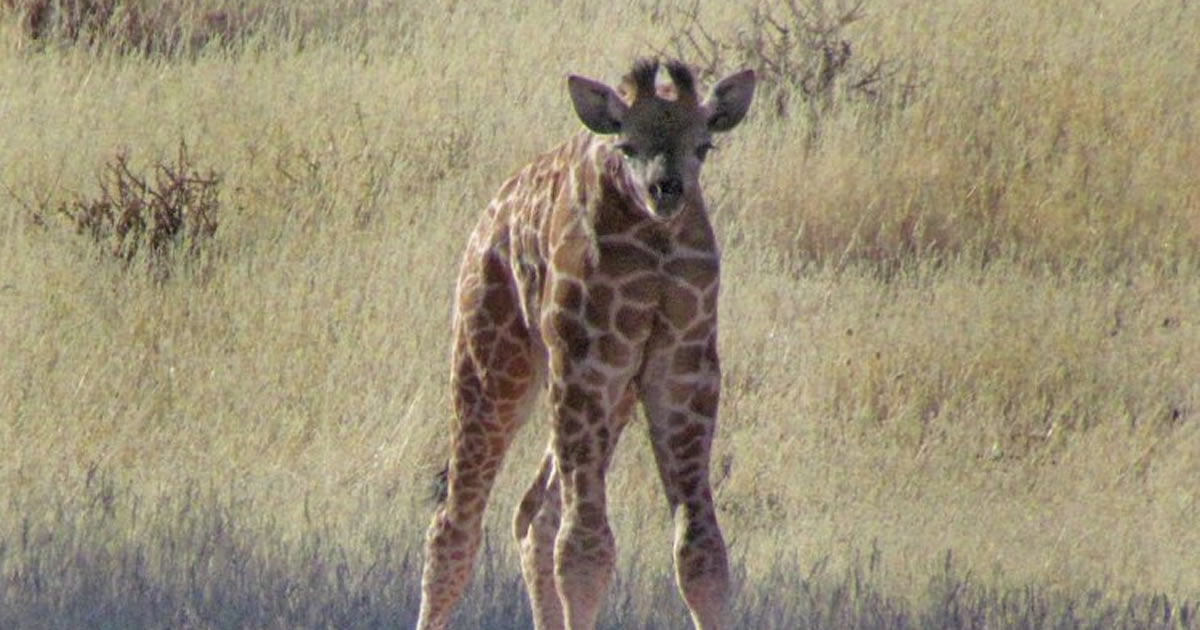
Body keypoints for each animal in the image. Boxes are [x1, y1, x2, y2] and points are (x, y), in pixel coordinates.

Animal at [416, 58, 755, 630]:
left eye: (704, 145)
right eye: (627, 146)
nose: (667, 190)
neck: (654, 244)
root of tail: (490, 214)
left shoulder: (683, 370)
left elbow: (701, 549)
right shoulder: (586, 363)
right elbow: (584, 549)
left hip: (610, 395)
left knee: (533, 513)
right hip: (494, 358)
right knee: (455, 523)